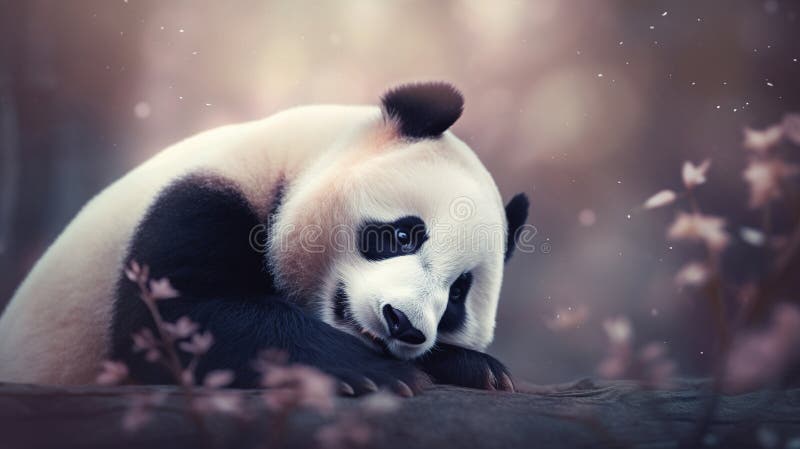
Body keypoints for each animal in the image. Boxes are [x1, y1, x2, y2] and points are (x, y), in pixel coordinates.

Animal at [0, 82, 529, 395]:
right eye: (403, 234)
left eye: (458, 295)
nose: (404, 325)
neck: (297, 158)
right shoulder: (203, 198)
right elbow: (171, 320)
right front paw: (375, 373)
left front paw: (479, 367)